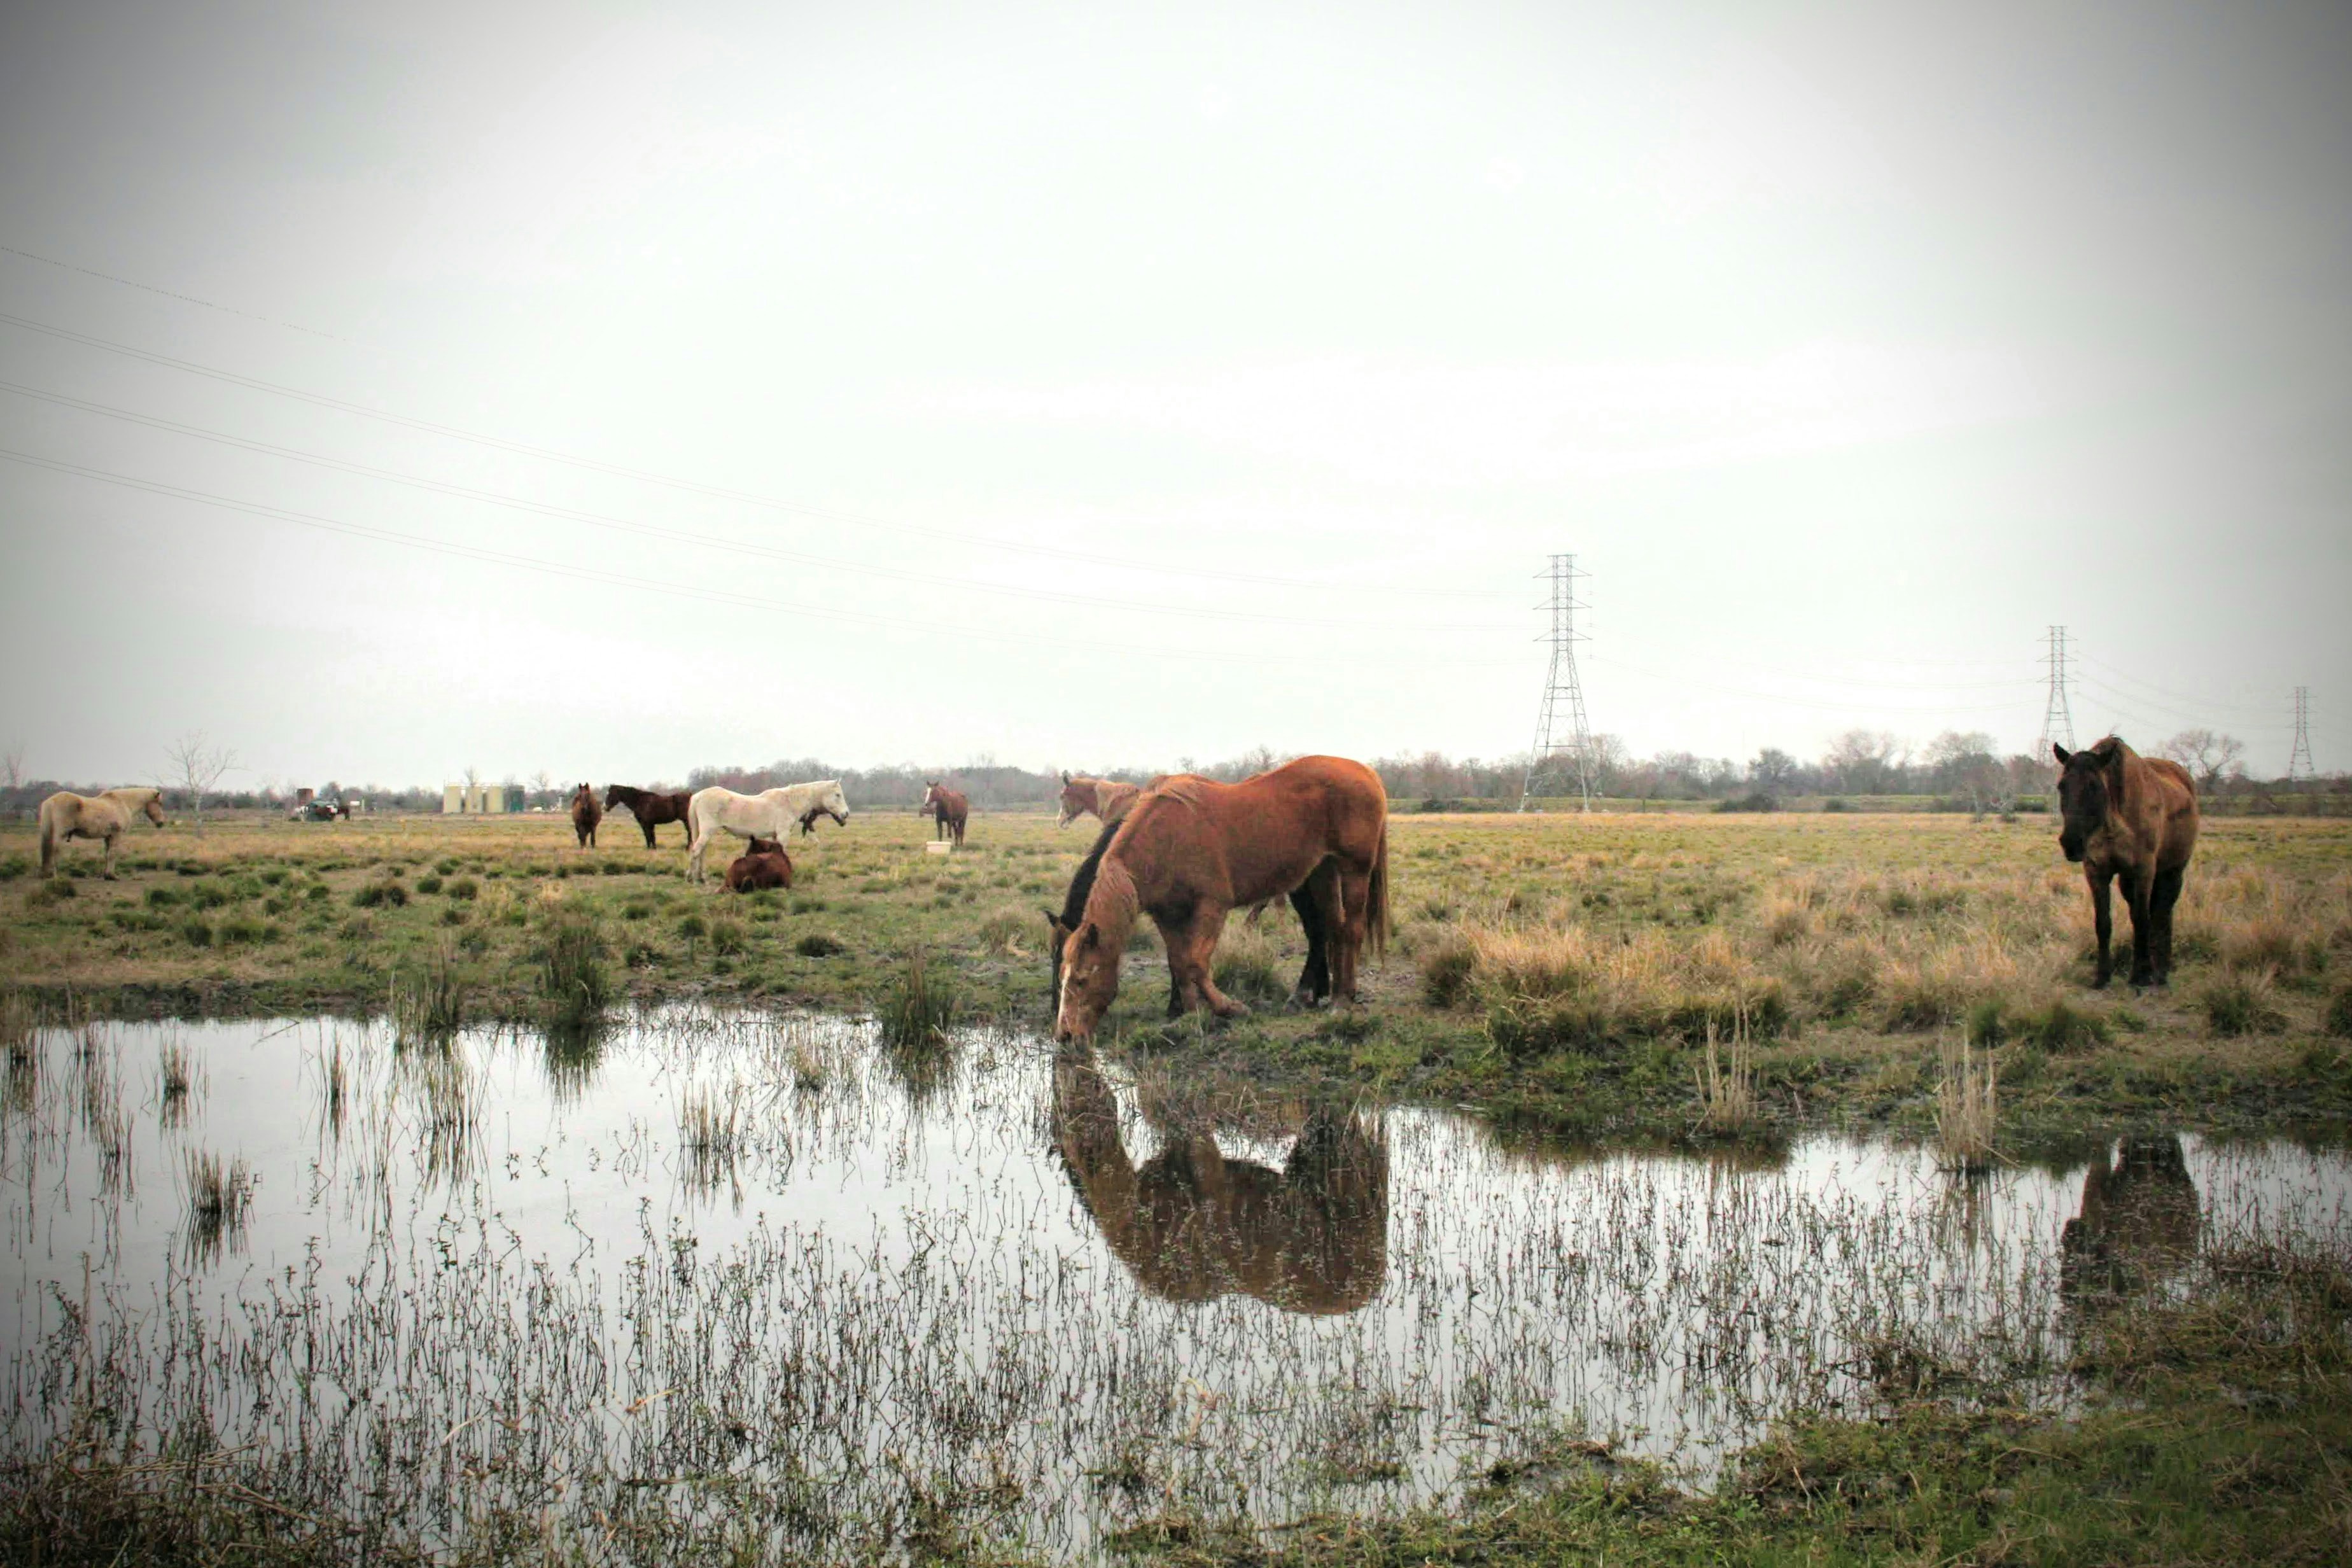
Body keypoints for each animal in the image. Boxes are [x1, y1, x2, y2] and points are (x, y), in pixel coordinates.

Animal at [39, 787, 167, 879]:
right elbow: (112, 854)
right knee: (54, 851)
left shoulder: (108, 837)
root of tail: (50, 801)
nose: (161, 823)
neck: (123, 803)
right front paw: (112, 876)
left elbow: (107, 854)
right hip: (61, 834)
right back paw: (55, 876)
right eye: (160, 804)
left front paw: (107, 875)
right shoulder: (116, 835)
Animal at [602, 784, 693, 849]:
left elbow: (648, 835)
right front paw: (654, 848)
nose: (605, 808)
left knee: (690, 832)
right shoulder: (650, 824)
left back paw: (688, 848)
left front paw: (649, 849)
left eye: (610, 795)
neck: (639, 801)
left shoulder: (645, 823)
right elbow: (651, 836)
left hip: (686, 820)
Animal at [687, 780, 850, 883]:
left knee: (701, 852)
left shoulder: (774, 836)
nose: (846, 814)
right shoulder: (783, 834)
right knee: (696, 851)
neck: (789, 802)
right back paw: (692, 878)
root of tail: (698, 796)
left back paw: (702, 878)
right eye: (838, 795)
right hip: (707, 831)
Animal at [1055, 756, 1389, 1044]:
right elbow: (1179, 962)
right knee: (1332, 928)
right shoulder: (1168, 914)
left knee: (1351, 930)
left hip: (1354, 869)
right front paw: (1189, 1014)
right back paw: (1323, 994)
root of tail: (1366, 772)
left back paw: (1341, 1000)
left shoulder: (1212, 908)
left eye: (1081, 981)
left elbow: (1195, 962)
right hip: (1322, 870)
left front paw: (1228, 1007)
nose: (1065, 1035)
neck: (1166, 839)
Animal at [2052, 737, 2199, 987]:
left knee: (2163, 912)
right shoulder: (2096, 872)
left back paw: (2161, 970)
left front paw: (2141, 975)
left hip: (2173, 871)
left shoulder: (2144, 871)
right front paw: (2102, 976)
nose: (2071, 843)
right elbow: (2103, 922)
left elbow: (2142, 919)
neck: (2114, 823)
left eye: (2094, 786)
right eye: (2062, 786)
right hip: (2128, 881)